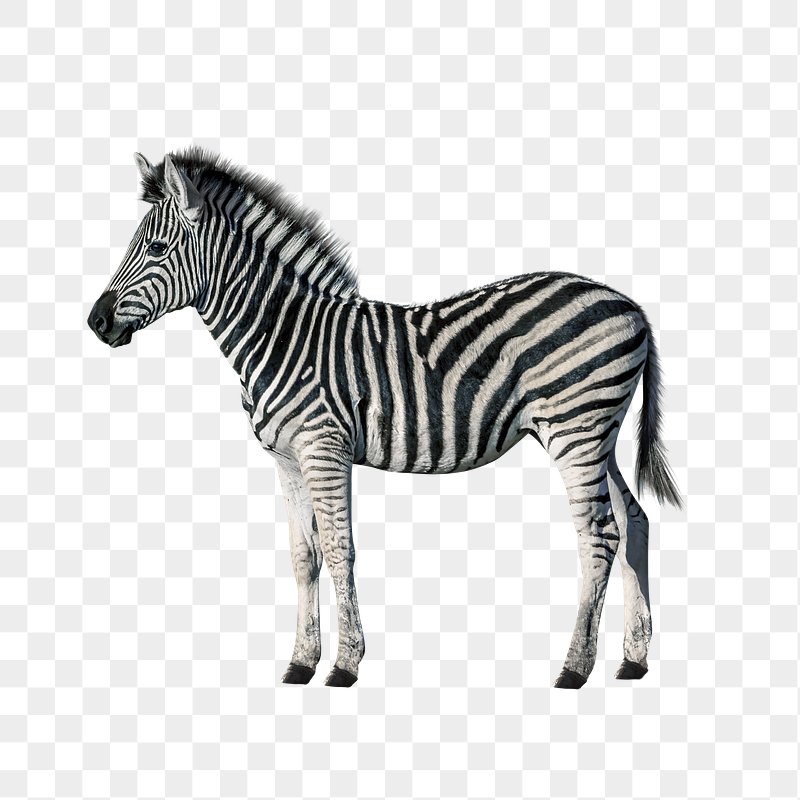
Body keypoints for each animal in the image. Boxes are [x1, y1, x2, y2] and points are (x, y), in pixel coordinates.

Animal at [88, 148, 682, 689]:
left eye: (156, 248)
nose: (96, 322)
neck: (281, 334)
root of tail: (630, 304)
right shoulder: (287, 458)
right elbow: (303, 556)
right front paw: (301, 662)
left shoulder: (323, 447)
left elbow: (338, 548)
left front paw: (345, 664)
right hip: (597, 434)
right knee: (633, 521)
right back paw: (633, 659)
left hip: (575, 429)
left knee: (599, 535)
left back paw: (575, 667)